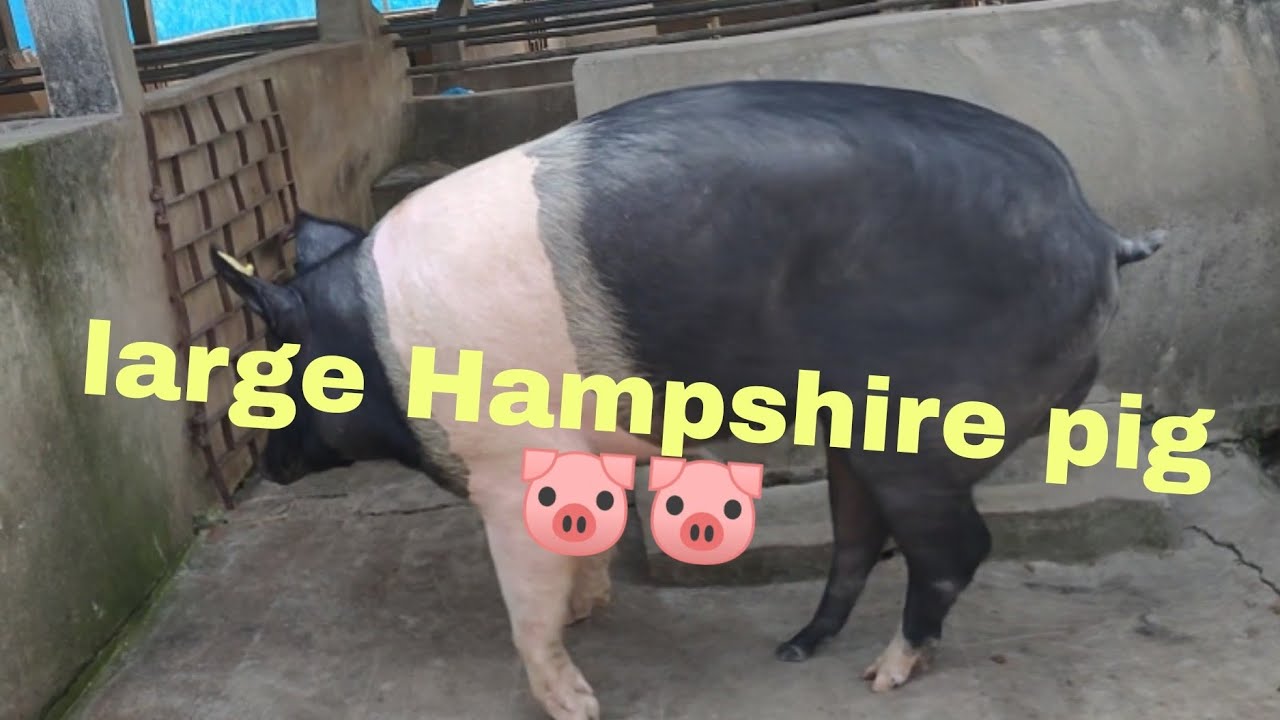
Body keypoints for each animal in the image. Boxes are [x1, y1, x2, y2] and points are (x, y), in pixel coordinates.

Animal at [210, 79, 1162, 719]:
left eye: (280, 370)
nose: (265, 462)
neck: (380, 343)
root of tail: (1099, 232)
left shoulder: (504, 463)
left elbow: (525, 600)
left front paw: (579, 704)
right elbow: (585, 536)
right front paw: (592, 609)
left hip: (919, 438)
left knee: (954, 549)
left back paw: (883, 675)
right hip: (853, 434)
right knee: (858, 542)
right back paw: (794, 650)